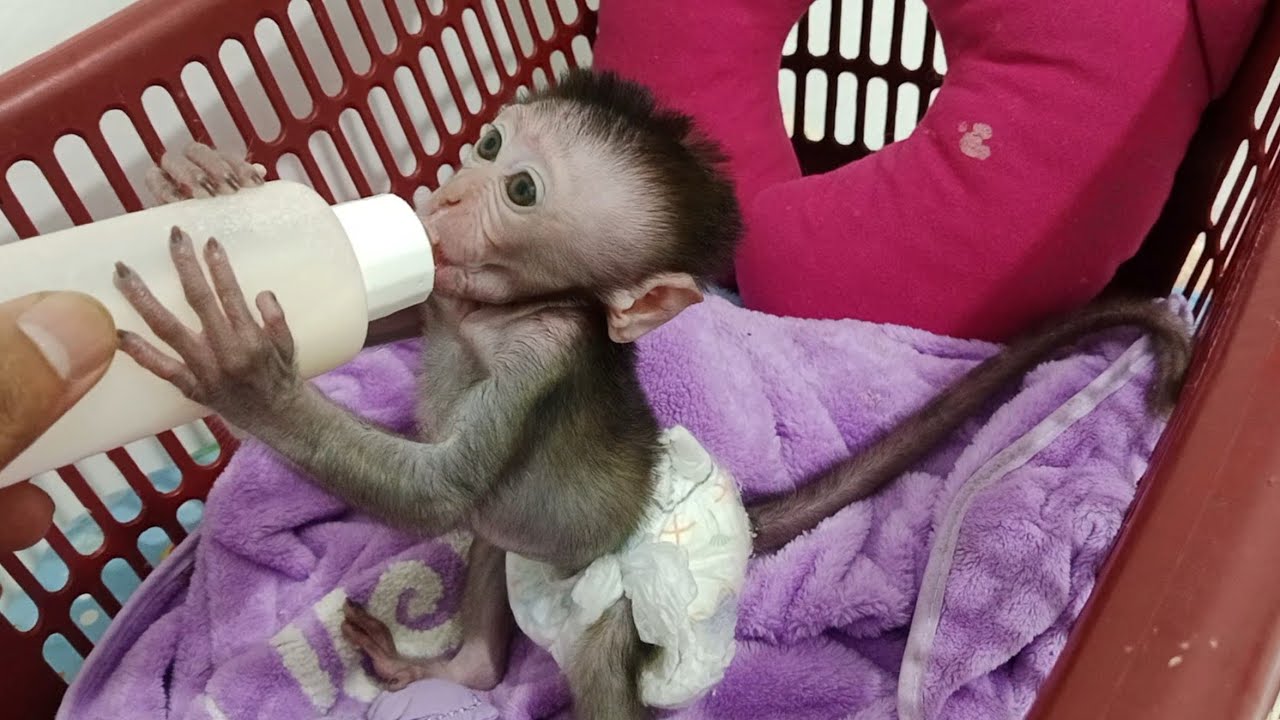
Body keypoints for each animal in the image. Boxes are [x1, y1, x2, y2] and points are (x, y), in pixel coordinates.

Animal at [111, 69, 1192, 719]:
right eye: (489, 142)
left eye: (522, 192)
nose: (445, 194)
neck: (498, 312)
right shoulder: (443, 290)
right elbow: (385, 318)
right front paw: (214, 178)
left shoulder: (542, 359)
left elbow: (435, 490)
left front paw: (246, 372)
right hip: (528, 562)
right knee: (487, 550)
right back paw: (454, 669)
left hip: (617, 608)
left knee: (576, 643)